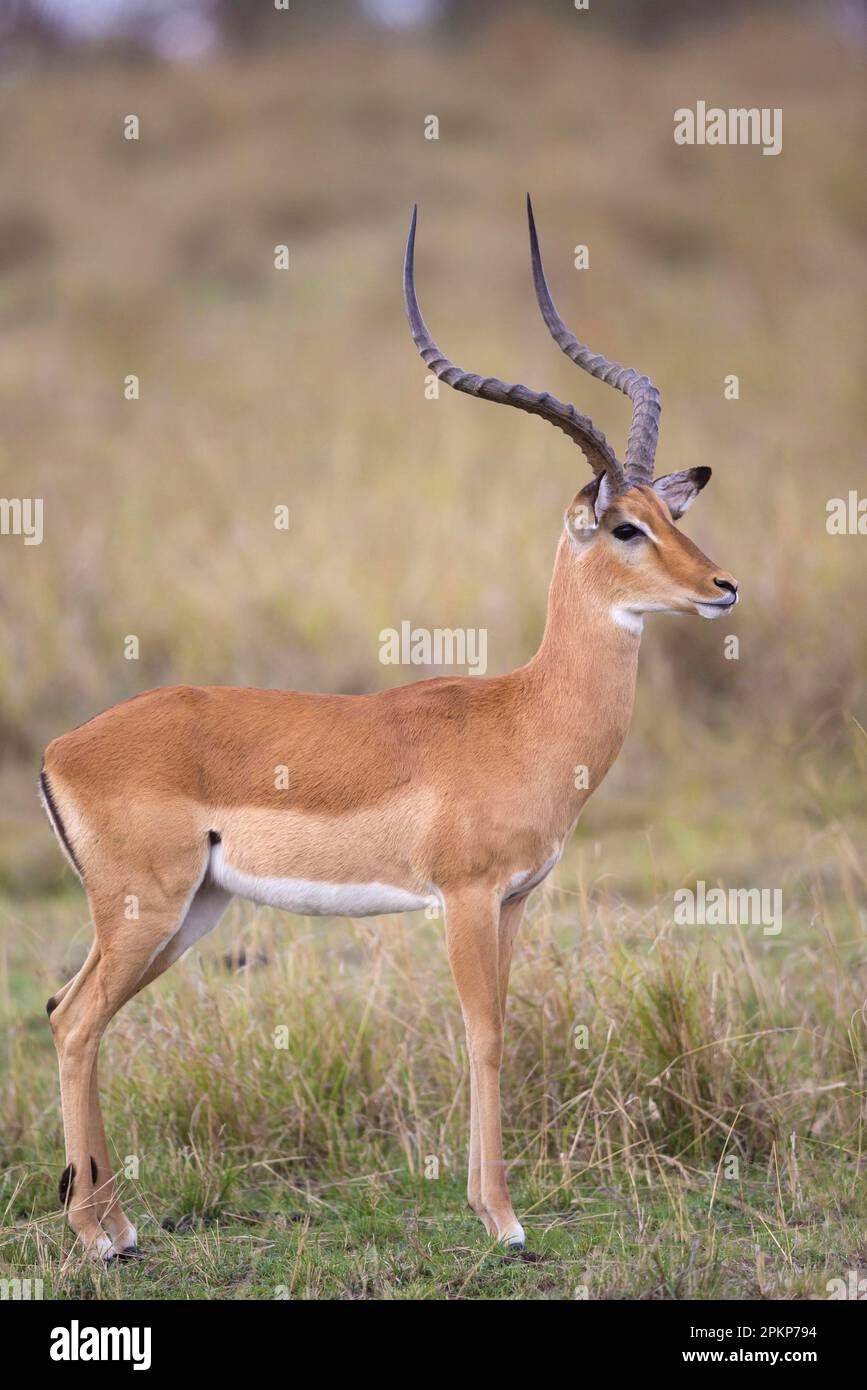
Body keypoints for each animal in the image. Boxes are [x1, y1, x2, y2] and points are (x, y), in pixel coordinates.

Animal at [40, 197, 737, 1260]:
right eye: (625, 527)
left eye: (671, 513)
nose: (721, 587)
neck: (525, 716)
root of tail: (59, 749)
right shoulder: (465, 898)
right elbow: (484, 1034)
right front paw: (503, 1220)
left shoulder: (517, 900)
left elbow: (502, 1027)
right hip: (144, 909)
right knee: (75, 1020)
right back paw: (102, 1236)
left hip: (189, 911)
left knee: (68, 1013)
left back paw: (115, 1222)